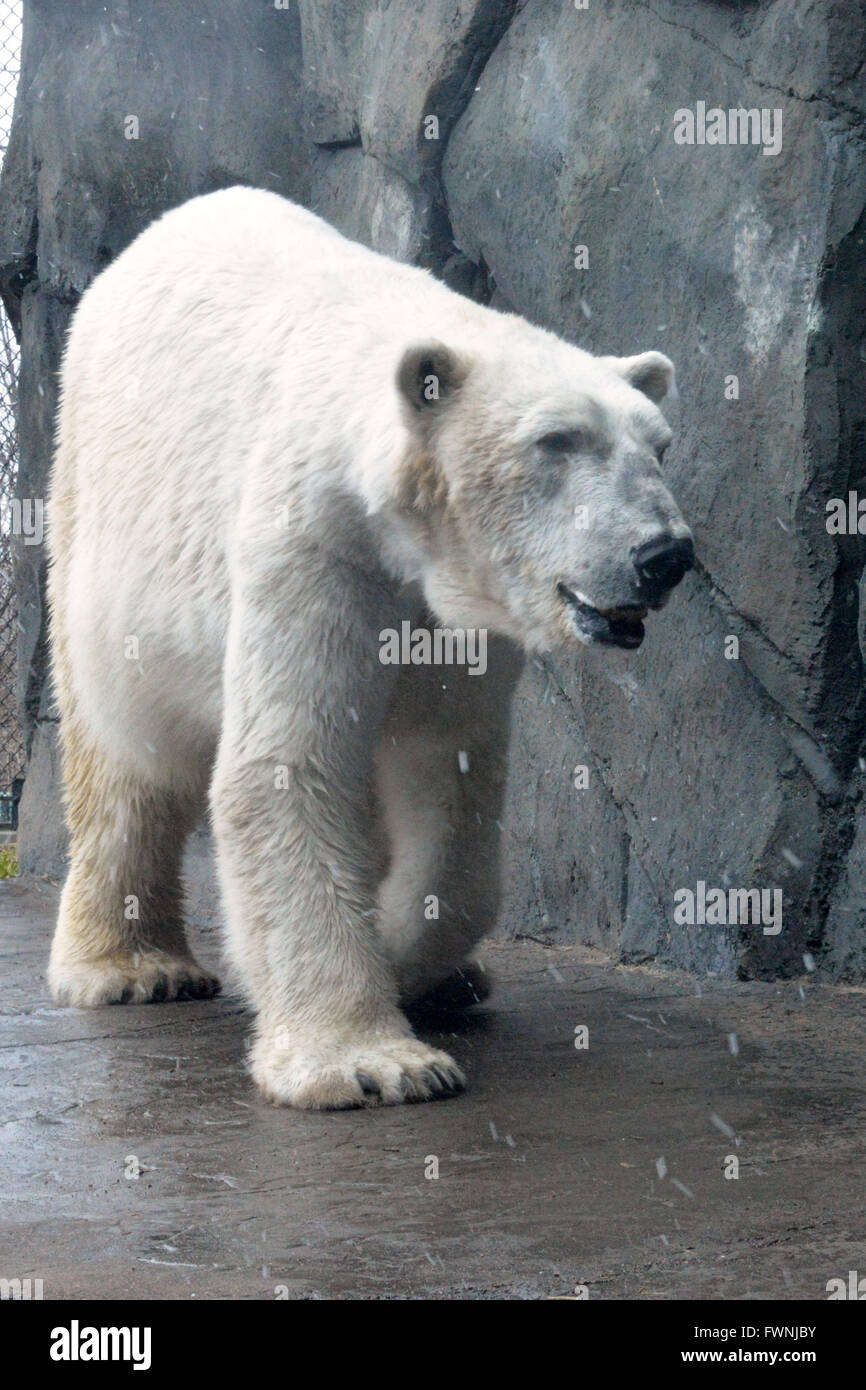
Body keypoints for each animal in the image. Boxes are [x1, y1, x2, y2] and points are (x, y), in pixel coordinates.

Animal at [46, 186, 693, 1110]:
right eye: (557, 442)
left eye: (660, 445)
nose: (663, 554)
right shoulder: (314, 548)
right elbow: (289, 766)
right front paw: (373, 1060)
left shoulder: (459, 617)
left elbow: (448, 781)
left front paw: (408, 961)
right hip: (98, 533)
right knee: (127, 756)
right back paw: (132, 967)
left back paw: (458, 981)